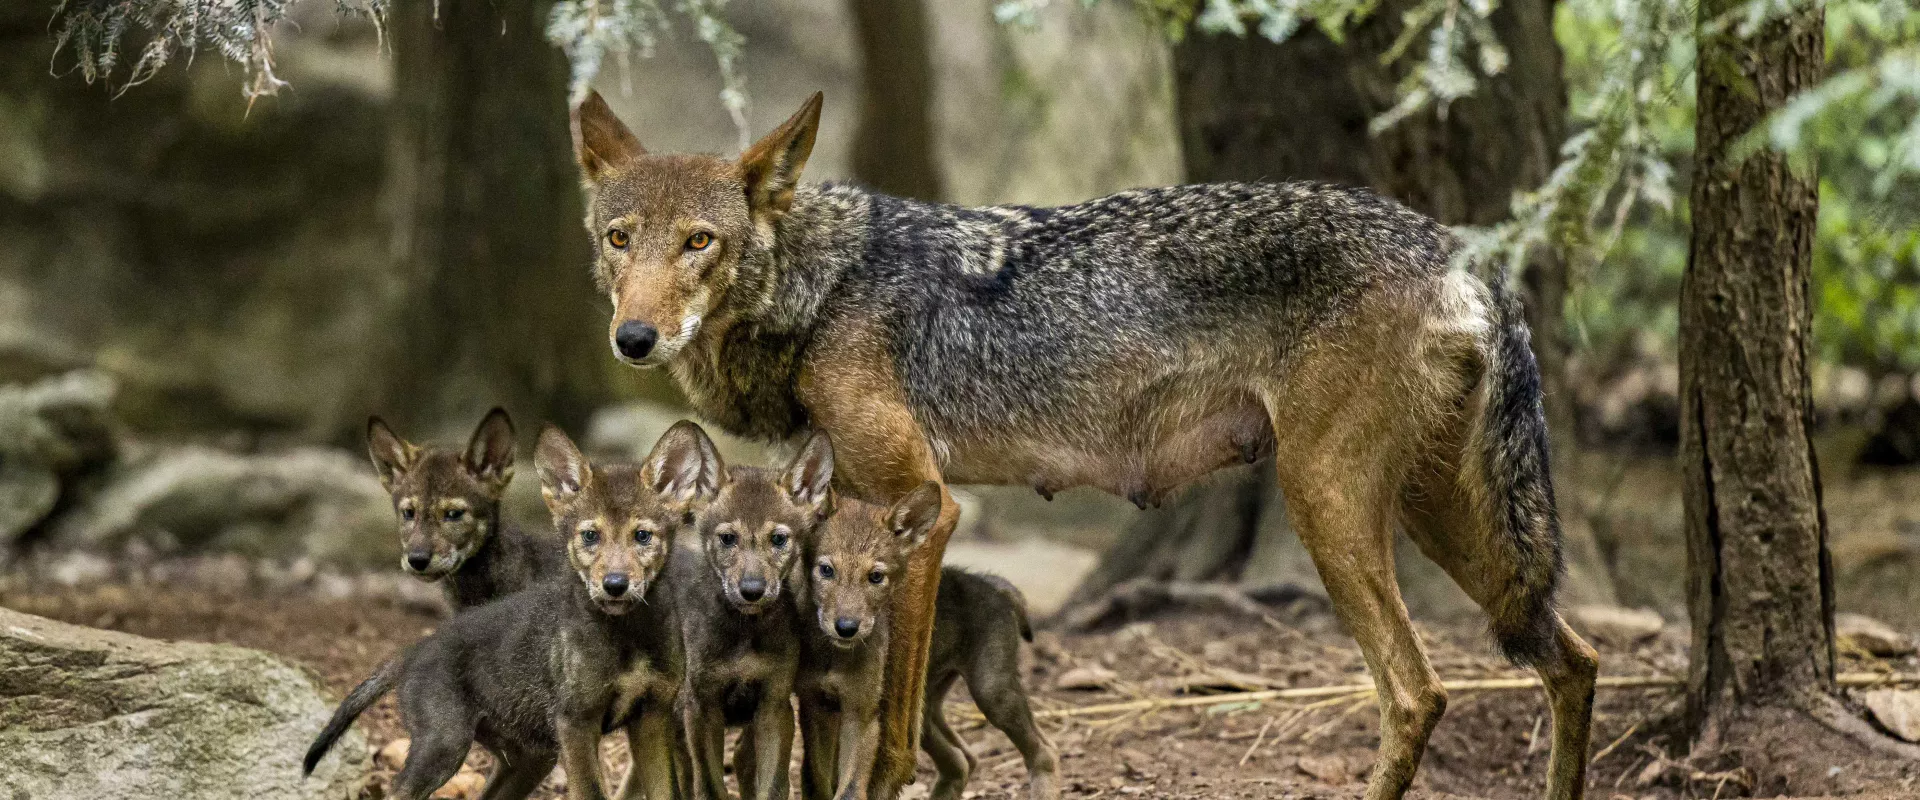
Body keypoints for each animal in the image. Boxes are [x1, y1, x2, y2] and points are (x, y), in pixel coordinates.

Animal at [567, 91, 1600, 800]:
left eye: (699, 242)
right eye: (620, 239)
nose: (633, 339)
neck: (823, 290)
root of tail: (1459, 249)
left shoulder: (922, 509)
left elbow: (893, 724)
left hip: (1329, 509)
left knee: (1418, 693)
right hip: (1444, 524)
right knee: (1573, 659)